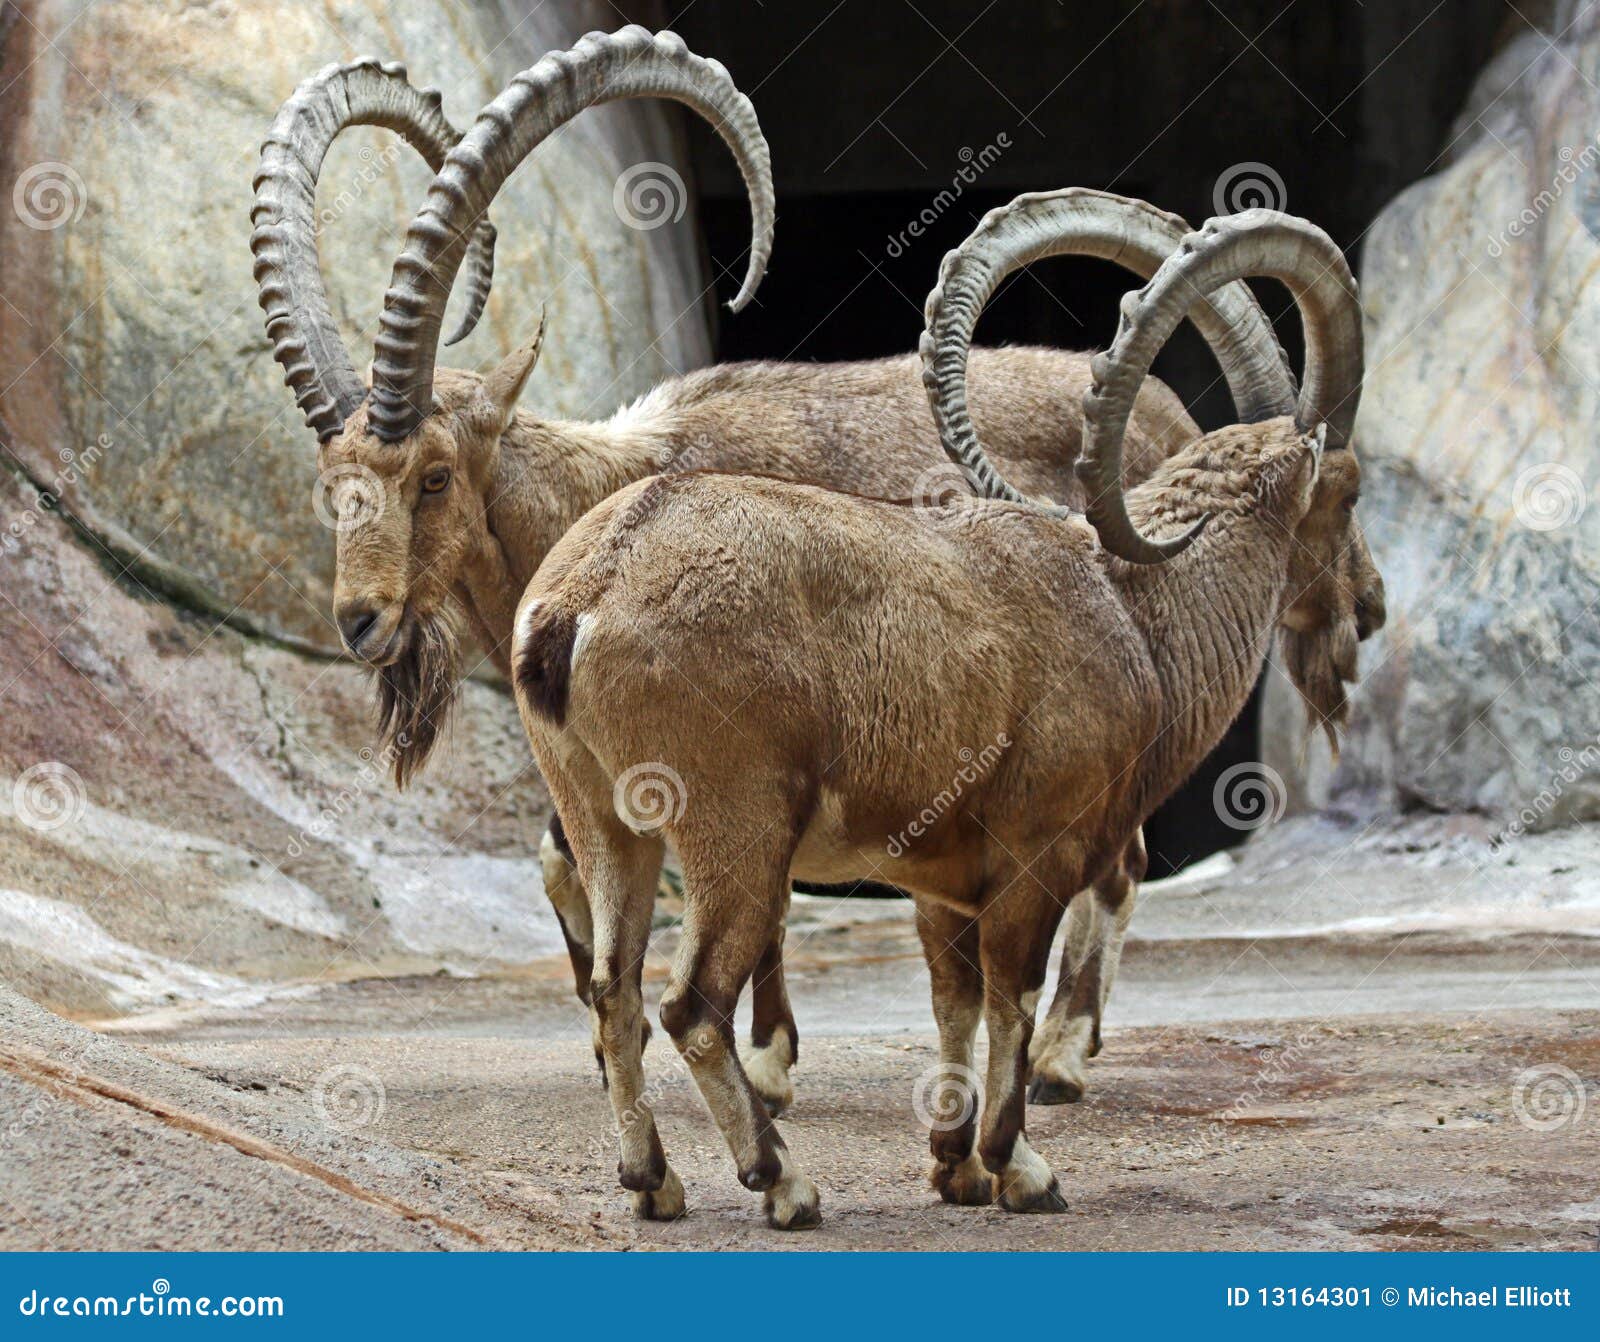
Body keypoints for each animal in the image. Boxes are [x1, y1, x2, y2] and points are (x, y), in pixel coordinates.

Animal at [251, 29, 1297, 1116]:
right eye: (334, 483)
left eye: (434, 474)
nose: (360, 621)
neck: (607, 491)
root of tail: (1176, 417)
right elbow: (570, 869)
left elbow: (767, 891)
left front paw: (771, 1060)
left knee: (1120, 857)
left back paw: (1058, 1057)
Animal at [510, 201, 1386, 1227]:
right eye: (1349, 490)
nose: (1371, 606)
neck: (1138, 614)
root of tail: (581, 602)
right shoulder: (1036, 852)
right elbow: (1011, 995)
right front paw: (1020, 1168)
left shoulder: (940, 880)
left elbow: (954, 1002)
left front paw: (954, 1165)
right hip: (738, 828)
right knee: (690, 1003)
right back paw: (783, 1182)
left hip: (603, 822)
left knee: (614, 992)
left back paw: (655, 1182)